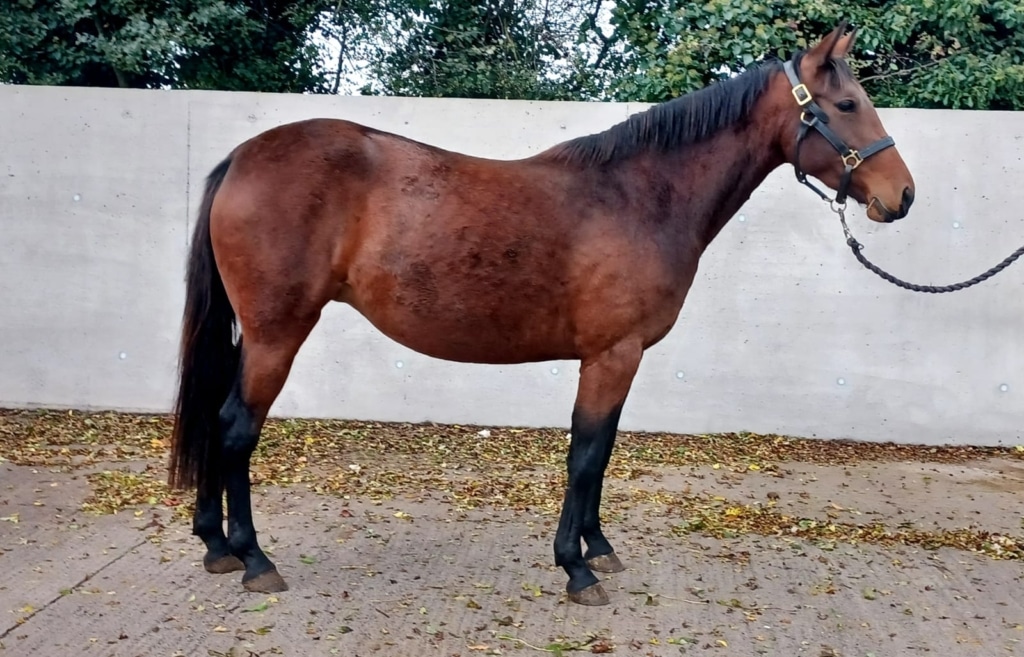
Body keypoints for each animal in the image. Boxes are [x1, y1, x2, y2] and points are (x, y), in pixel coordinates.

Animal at [167, 22, 915, 606]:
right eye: (846, 103)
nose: (902, 196)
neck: (641, 195)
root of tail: (242, 158)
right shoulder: (612, 354)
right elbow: (584, 454)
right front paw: (576, 568)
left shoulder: (619, 358)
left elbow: (602, 452)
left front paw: (599, 546)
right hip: (277, 334)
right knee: (235, 428)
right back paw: (254, 558)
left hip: (254, 335)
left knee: (216, 418)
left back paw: (216, 546)